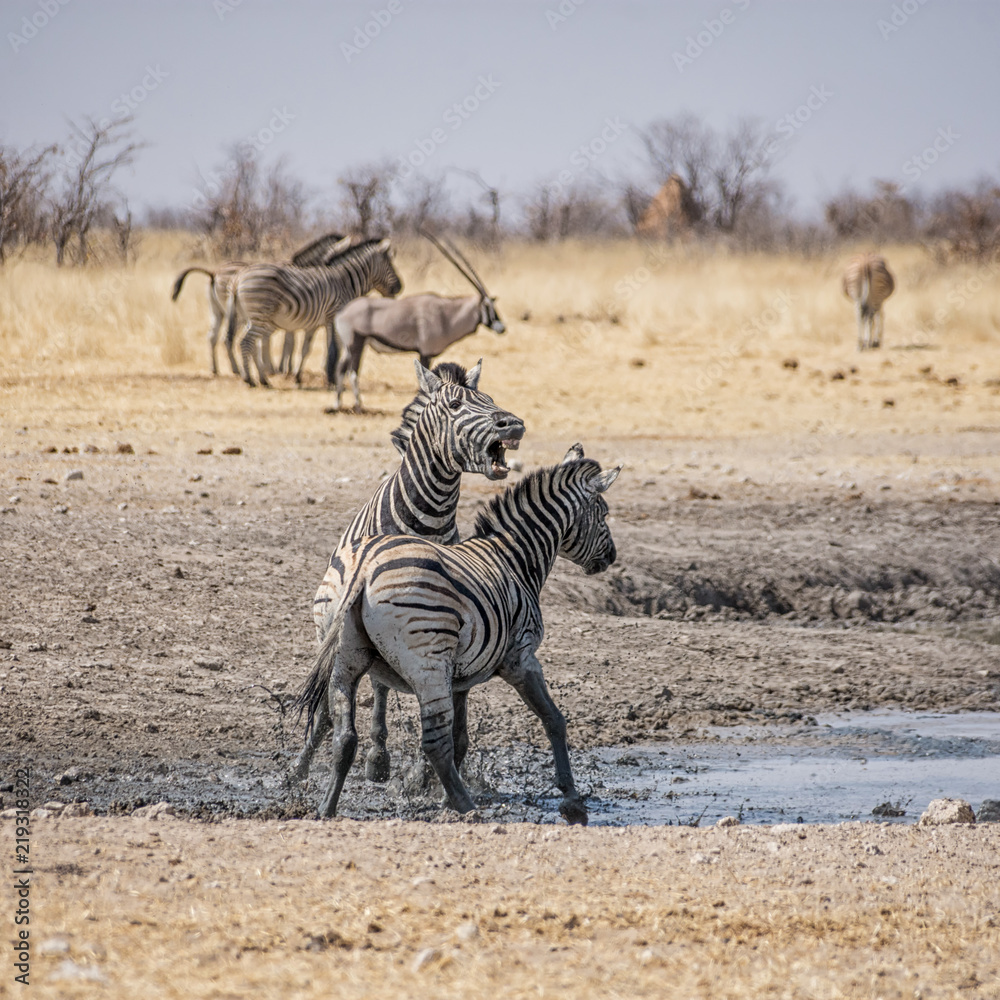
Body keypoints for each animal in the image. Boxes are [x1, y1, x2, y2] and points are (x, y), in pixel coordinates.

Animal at [170, 232, 353, 376]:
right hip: (237, 314)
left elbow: (284, 341)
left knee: (213, 336)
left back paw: (216, 369)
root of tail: (214, 272)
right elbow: (289, 343)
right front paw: (282, 369)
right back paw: (237, 370)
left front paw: (280, 368)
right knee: (228, 338)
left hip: (217, 311)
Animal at [224, 238, 403, 387]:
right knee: (246, 342)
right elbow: (334, 349)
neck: (346, 282)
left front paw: (305, 376)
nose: (400, 287)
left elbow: (310, 348)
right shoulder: (333, 316)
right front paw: (331, 379)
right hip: (260, 314)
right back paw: (249, 380)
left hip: (252, 317)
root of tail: (238, 277)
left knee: (253, 344)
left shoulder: (319, 323)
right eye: (390, 265)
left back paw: (263, 380)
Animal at [293, 358, 526, 786]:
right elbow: (374, 688)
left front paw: (426, 768)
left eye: (490, 398)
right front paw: (377, 756)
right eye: (455, 405)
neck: (429, 518)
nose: (514, 425)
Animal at [294, 446, 620, 823]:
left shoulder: (462, 677)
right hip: (427, 663)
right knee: (433, 743)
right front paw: (572, 801)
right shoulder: (521, 658)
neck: (514, 558)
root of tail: (364, 566)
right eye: (604, 514)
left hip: (345, 659)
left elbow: (461, 738)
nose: (611, 557)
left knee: (345, 736)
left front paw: (438, 796)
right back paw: (468, 808)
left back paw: (327, 808)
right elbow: (554, 720)